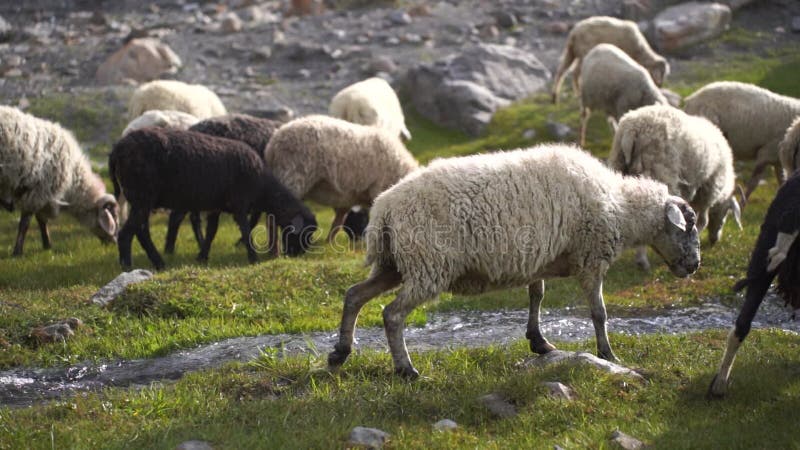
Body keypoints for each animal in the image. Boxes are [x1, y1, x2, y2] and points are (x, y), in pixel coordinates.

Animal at [0, 106, 118, 256]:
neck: (73, 181)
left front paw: (47, 245)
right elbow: (26, 223)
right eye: (114, 217)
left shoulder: (41, 194)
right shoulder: (38, 193)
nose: (115, 243)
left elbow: (41, 220)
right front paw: (18, 251)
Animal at [109, 127, 317, 270]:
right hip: (142, 195)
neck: (263, 187)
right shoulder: (239, 204)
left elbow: (211, 232)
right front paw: (253, 258)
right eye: (304, 233)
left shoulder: (217, 206)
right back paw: (128, 266)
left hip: (141, 198)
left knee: (141, 230)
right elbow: (246, 230)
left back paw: (158, 263)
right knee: (128, 232)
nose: (296, 255)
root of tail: (118, 147)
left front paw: (202, 257)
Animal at [264, 115, 419, 244]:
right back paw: (275, 252)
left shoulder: (347, 198)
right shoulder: (377, 189)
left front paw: (329, 243)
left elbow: (338, 222)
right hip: (291, 177)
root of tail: (273, 144)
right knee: (272, 219)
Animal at [327, 144, 701, 379]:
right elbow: (599, 312)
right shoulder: (591, 257)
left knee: (354, 295)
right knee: (392, 315)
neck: (621, 207)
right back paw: (406, 369)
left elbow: (537, 295)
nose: (694, 265)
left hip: (395, 263)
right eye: (690, 224)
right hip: (428, 264)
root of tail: (384, 208)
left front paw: (539, 341)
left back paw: (340, 353)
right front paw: (607, 353)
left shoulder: (538, 257)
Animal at [609, 104, 742, 271]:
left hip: (619, 166)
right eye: (726, 215)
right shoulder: (708, 190)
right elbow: (703, 220)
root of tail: (631, 131)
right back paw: (642, 261)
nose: (714, 241)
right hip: (659, 171)